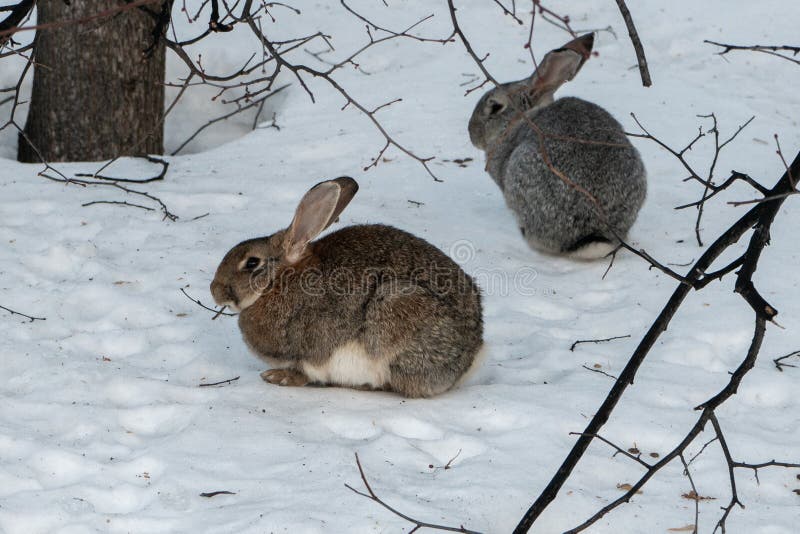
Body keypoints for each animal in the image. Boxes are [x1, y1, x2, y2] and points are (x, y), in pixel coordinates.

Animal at [210, 177, 484, 398]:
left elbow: (305, 369)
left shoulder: (313, 347)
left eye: (252, 262)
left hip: (395, 310)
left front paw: (278, 377)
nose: (215, 291)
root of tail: (472, 353)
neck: (277, 281)